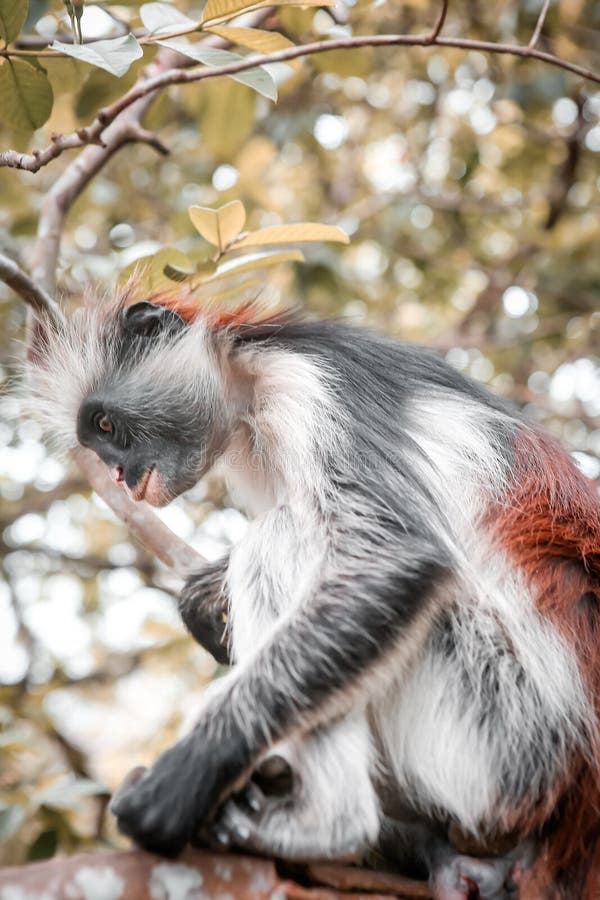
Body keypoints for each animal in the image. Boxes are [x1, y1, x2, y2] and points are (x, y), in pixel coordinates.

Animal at [27, 293, 600, 900]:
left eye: (105, 423)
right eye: (97, 437)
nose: (117, 473)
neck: (247, 369)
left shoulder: (316, 385)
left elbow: (390, 555)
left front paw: (182, 778)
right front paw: (202, 596)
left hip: (508, 742)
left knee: (282, 539)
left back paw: (327, 823)